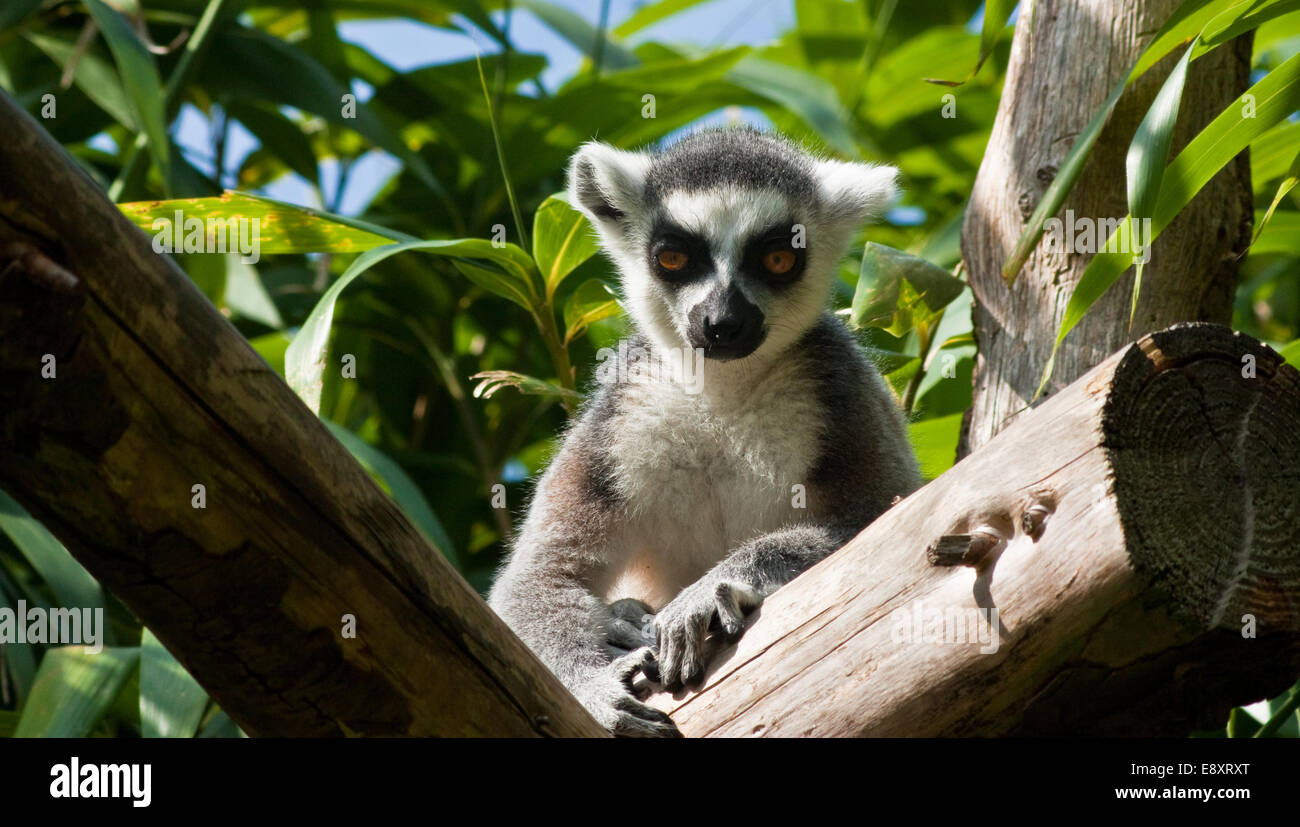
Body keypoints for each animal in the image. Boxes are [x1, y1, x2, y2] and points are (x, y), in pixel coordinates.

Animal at [488, 127, 921, 737]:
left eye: (778, 258)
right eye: (673, 257)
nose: (722, 323)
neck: (722, 390)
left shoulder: (839, 388)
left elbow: (884, 512)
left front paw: (711, 590)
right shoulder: (621, 412)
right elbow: (543, 573)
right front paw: (593, 691)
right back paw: (624, 622)